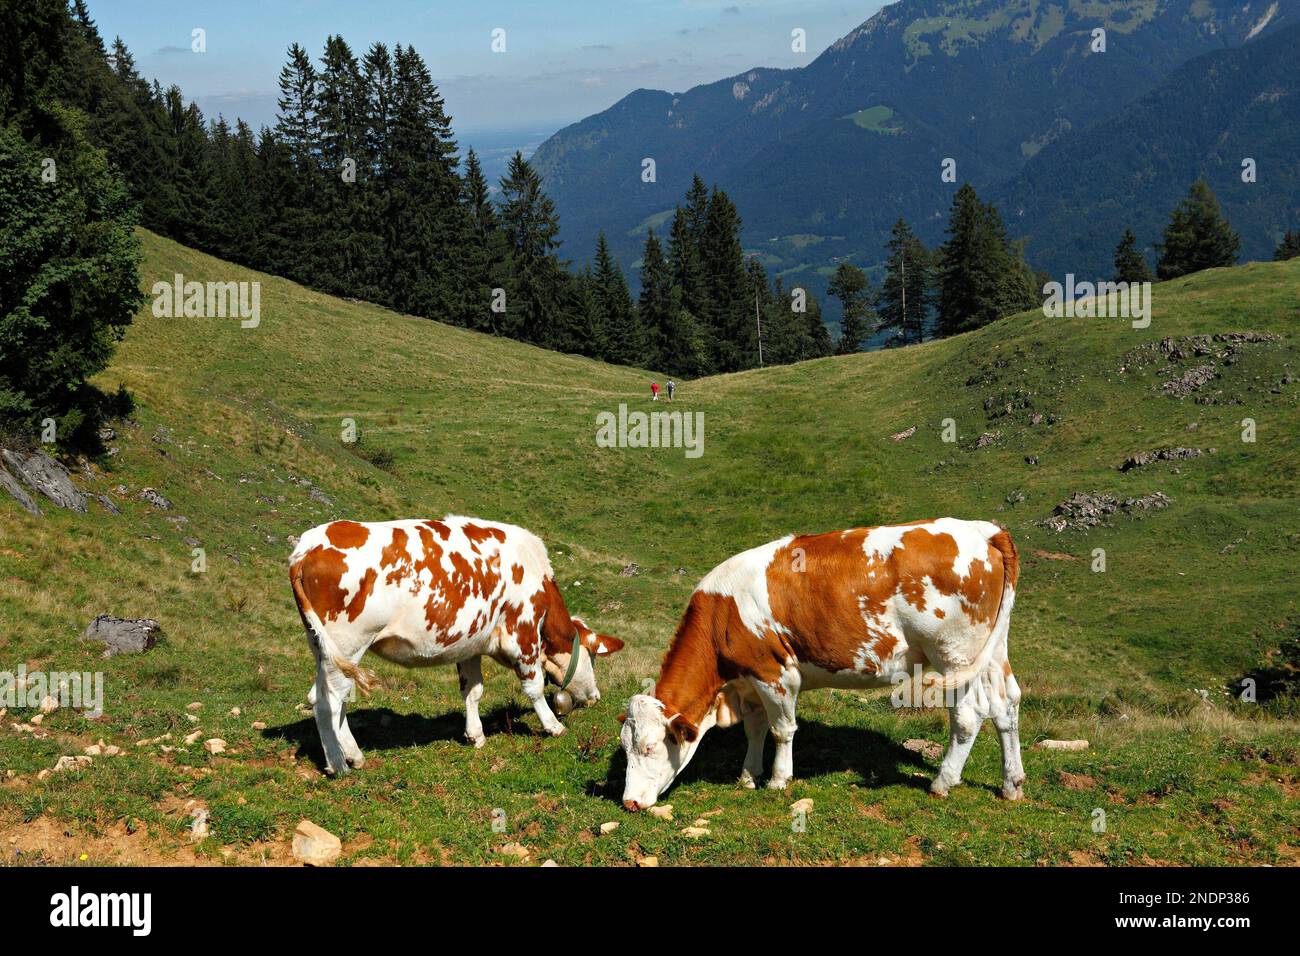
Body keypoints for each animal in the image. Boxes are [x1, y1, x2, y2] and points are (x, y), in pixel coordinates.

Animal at [289, 516, 624, 775]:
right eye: (593, 657)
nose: (595, 696)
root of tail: (307, 546)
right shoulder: (523, 632)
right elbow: (534, 688)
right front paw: (553, 725)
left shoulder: (471, 645)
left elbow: (472, 691)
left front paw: (475, 735)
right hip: (347, 644)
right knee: (329, 702)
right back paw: (338, 764)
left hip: (325, 648)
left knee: (325, 697)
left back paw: (352, 755)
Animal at [619, 518, 1022, 810]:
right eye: (625, 748)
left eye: (650, 747)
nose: (629, 803)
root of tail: (982, 528)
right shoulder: (749, 681)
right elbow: (755, 730)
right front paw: (748, 775)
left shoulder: (775, 673)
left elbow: (781, 730)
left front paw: (778, 779)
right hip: (992, 652)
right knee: (1006, 705)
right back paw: (1012, 784)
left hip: (954, 654)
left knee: (969, 715)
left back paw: (942, 781)